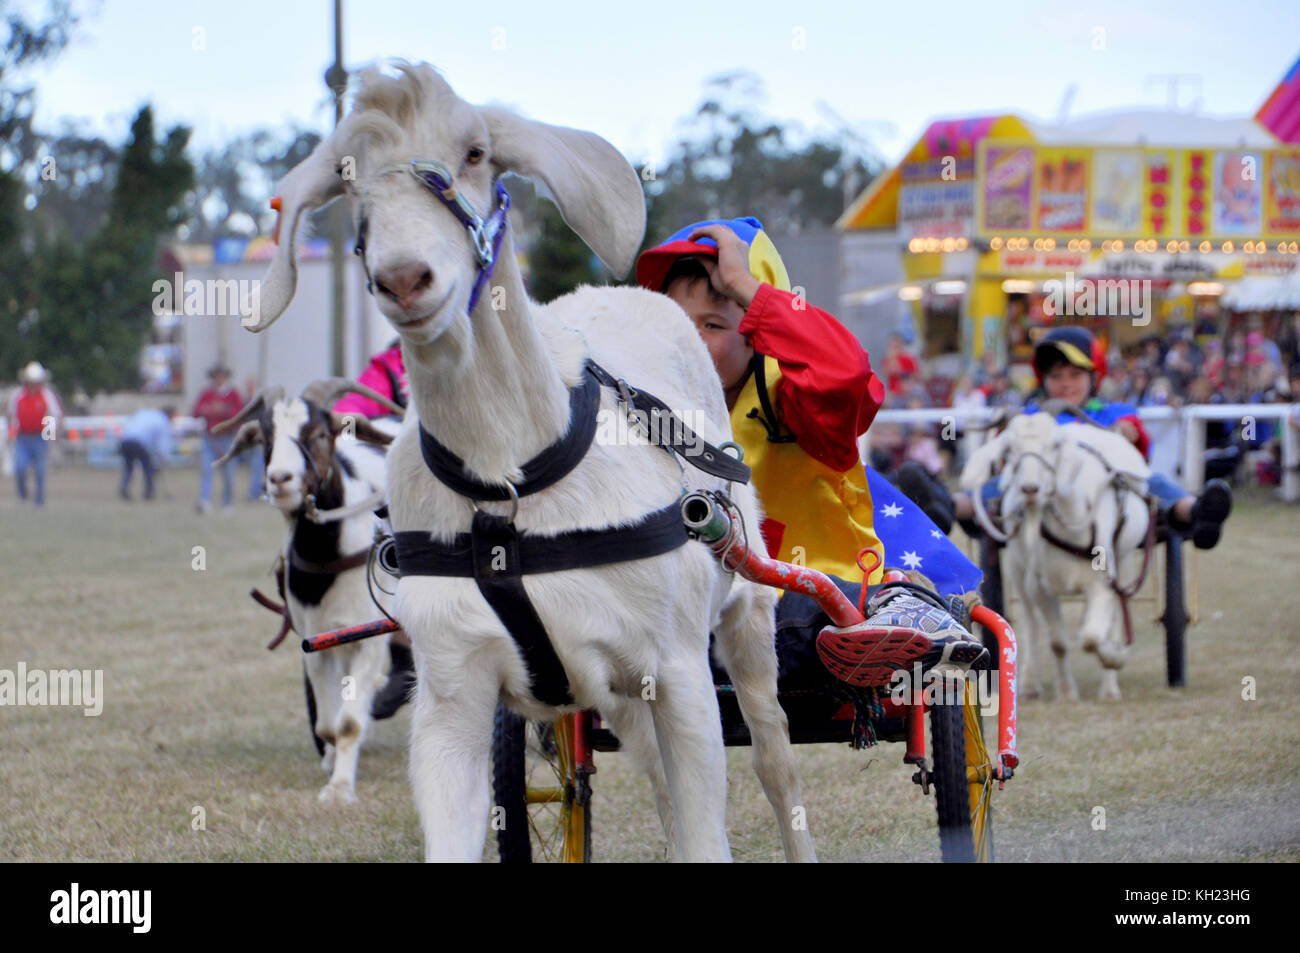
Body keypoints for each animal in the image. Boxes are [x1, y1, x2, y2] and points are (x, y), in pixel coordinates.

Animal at [216, 378, 406, 803]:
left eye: (319, 433)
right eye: (266, 436)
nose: (280, 479)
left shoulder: (370, 637)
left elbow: (349, 722)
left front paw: (339, 791)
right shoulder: (316, 641)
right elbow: (328, 724)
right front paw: (333, 765)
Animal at [243, 62, 814, 862]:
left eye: (476, 152)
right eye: (349, 176)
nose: (405, 279)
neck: (508, 481)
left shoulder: (678, 675)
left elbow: (710, 829)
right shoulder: (452, 697)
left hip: (747, 615)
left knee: (775, 761)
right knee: (660, 782)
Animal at [962, 413, 1151, 701]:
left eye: (1054, 447)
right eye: (1009, 451)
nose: (1030, 489)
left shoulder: (1103, 582)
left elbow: (1093, 637)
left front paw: (1113, 659)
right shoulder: (1040, 587)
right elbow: (1058, 642)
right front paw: (1066, 692)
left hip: (1126, 559)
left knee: (1117, 614)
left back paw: (1109, 686)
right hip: (1017, 568)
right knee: (1028, 622)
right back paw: (1028, 683)